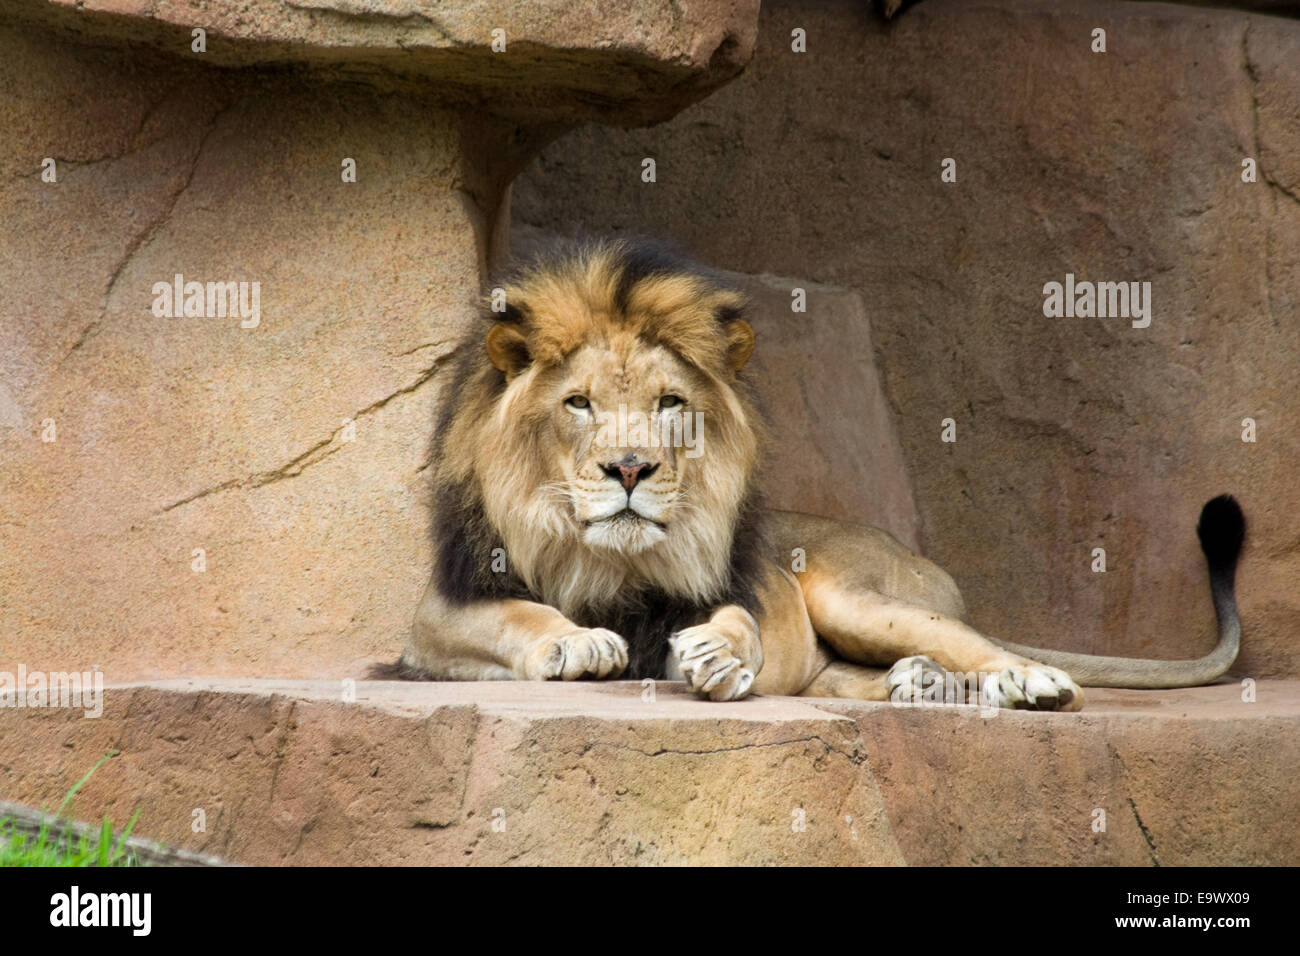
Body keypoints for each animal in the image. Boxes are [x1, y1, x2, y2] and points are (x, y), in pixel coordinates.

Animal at [392, 237, 1245, 711]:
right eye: (578, 403)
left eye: (670, 404)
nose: (630, 467)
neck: (611, 562)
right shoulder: (436, 617)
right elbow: (516, 616)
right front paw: (576, 644)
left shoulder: (736, 591)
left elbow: (737, 621)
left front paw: (718, 656)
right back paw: (920, 686)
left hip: (857, 597)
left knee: (981, 647)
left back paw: (1025, 682)